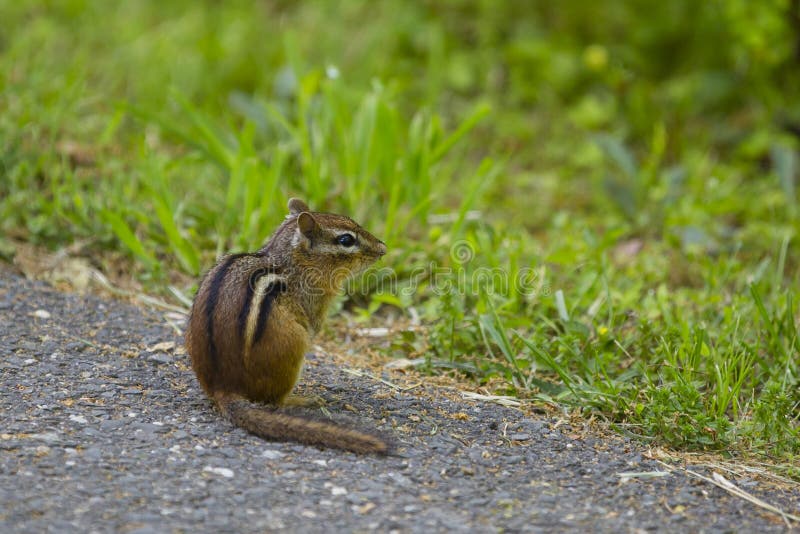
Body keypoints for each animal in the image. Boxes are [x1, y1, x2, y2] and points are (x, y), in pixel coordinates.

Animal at [185, 198, 390, 454]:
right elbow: (314, 323)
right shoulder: (313, 302)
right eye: (346, 240)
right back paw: (304, 400)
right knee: (274, 400)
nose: (383, 248)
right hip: (292, 348)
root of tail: (223, 387)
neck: (292, 260)